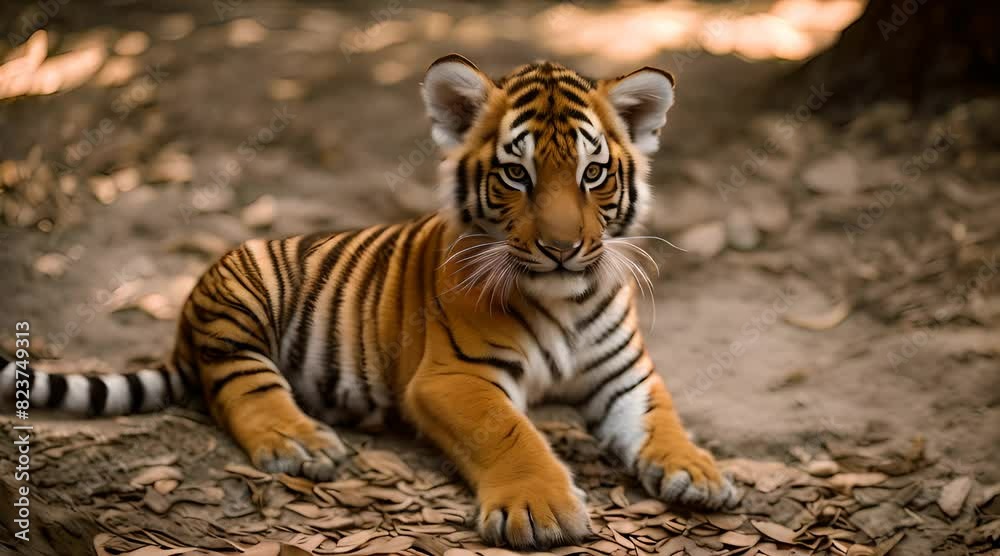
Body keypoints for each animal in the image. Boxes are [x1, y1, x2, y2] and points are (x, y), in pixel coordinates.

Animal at [2, 54, 736, 549]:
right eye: (515, 173)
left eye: (592, 172)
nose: (562, 248)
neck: (567, 299)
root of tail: (183, 321)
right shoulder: (453, 376)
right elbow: (512, 431)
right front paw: (542, 509)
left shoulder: (628, 378)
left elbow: (665, 422)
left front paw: (700, 473)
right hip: (240, 295)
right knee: (239, 386)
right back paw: (300, 444)